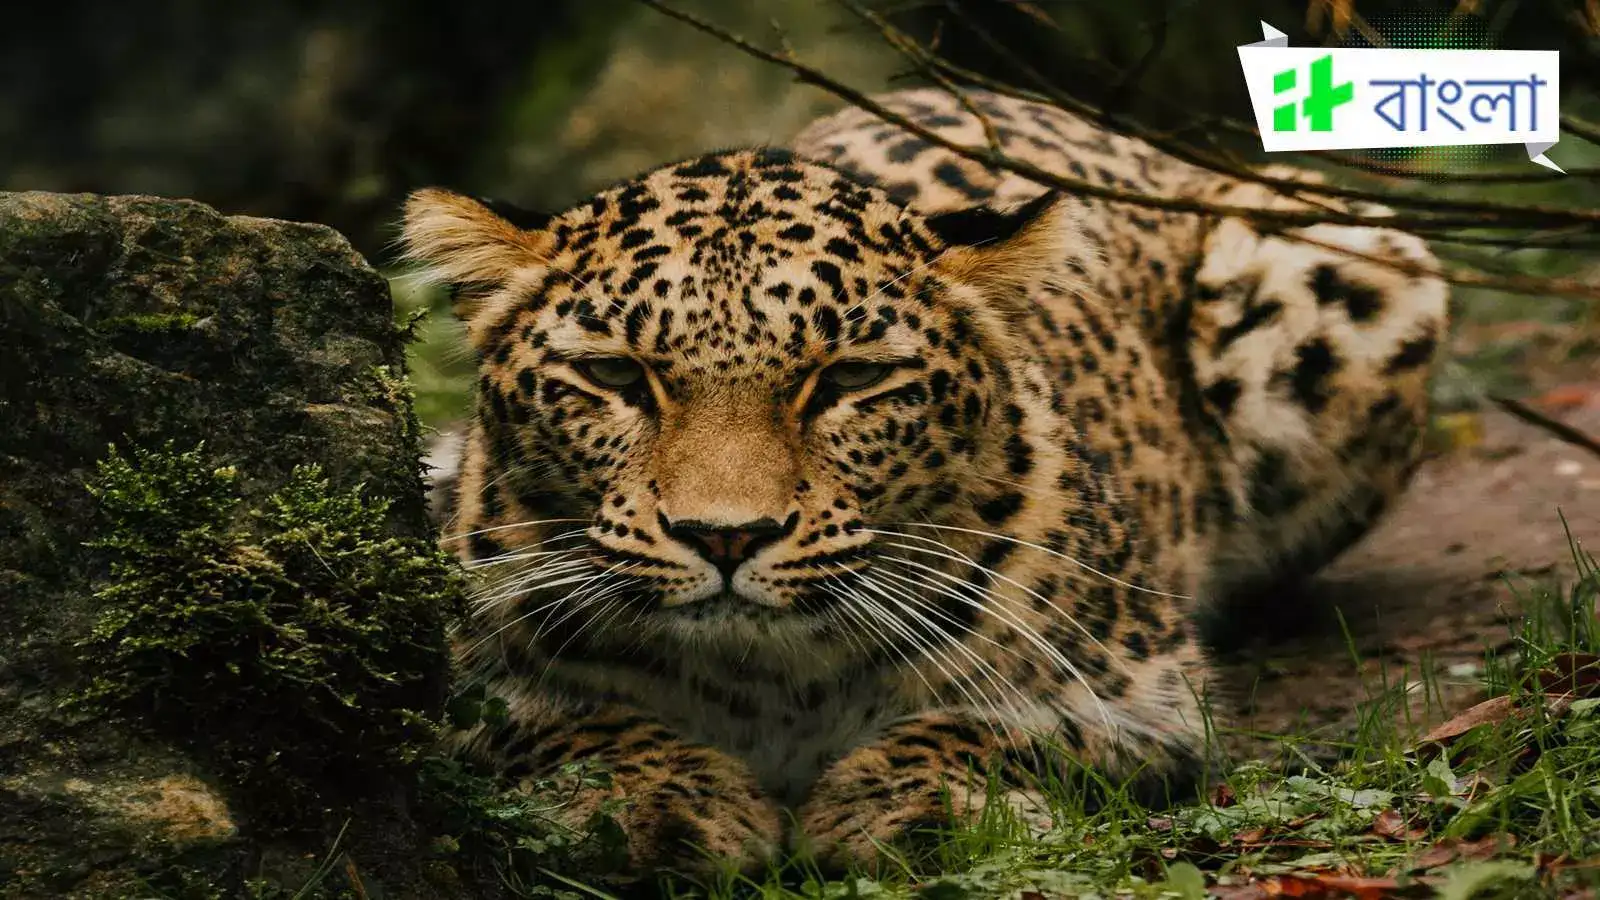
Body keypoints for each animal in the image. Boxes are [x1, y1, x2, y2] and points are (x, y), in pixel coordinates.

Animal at [400, 87, 1448, 882]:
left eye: (849, 380)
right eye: (615, 376)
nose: (725, 536)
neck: (763, 683)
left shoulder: (1146, 689)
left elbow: (997, 730)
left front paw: (915, 809)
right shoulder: (463, 667)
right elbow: (563, 728)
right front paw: (657, 805)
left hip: (1345, 256)